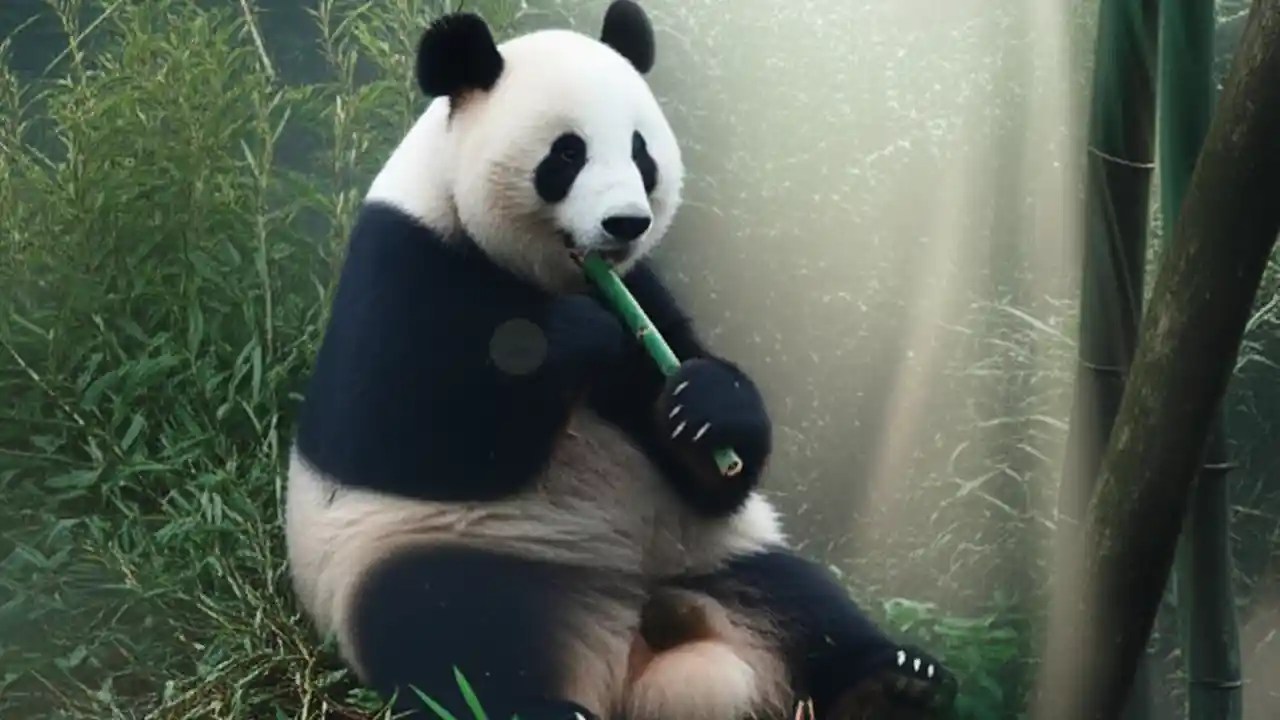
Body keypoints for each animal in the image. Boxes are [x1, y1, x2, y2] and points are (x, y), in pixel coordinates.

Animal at [284, 2, 957, 719]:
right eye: (566, 154)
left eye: (642, 153)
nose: (627, 223)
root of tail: (623, 649)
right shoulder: (404, 263)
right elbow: (410, 440)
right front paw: (574, 335)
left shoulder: (645, 292)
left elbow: (707, 459)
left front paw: (705, 408)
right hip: (432, 553)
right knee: (450, 628)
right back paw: (544, 706)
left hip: (716, 559)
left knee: (803, 598)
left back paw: (893, 680)